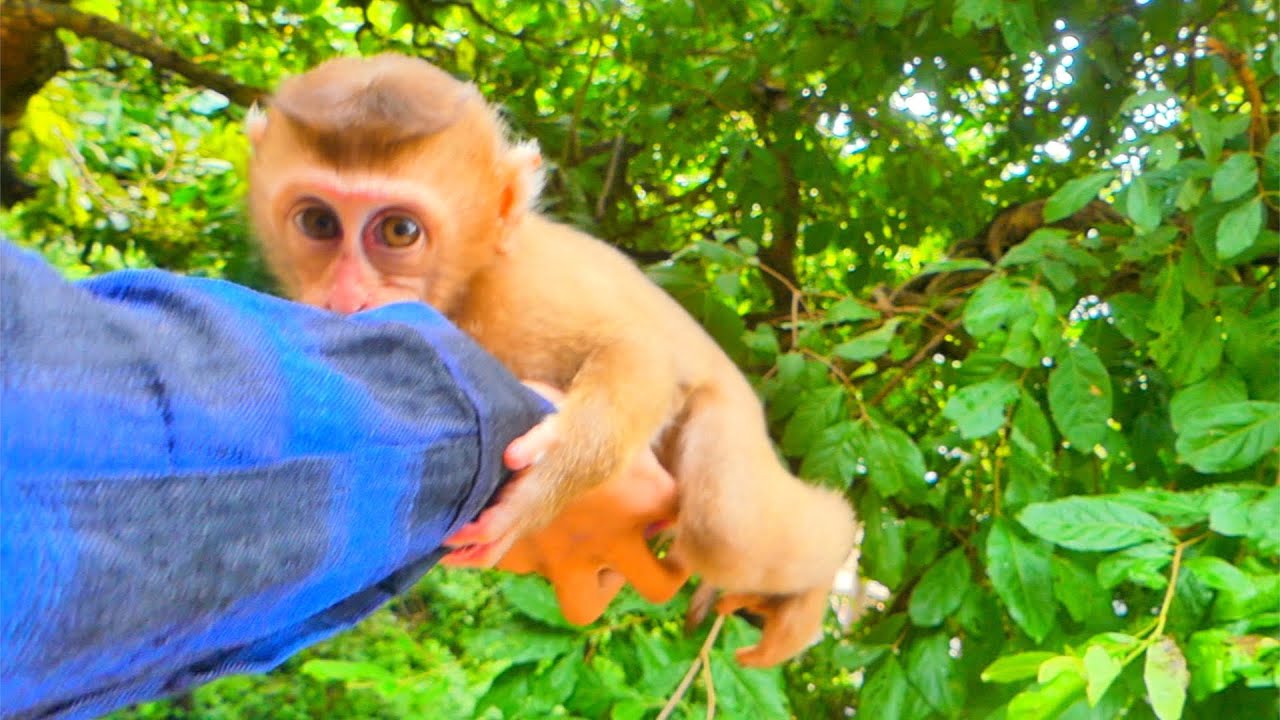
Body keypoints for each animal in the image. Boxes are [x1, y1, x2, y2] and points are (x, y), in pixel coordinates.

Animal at [245, 53, 857, 668]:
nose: (346, 297)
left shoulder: (521, 288)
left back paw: (823, 572)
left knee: (723, 526)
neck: (466, 287)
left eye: (399, 231)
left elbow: (640, 353)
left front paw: (549, 477)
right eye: (319, 223)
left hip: (732, 421)